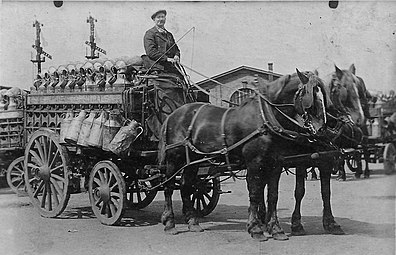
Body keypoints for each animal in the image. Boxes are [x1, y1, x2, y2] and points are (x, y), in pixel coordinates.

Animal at [157, 68, 332, 240]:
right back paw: (169, 223)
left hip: (193, 160)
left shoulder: (276, 163)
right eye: (310, 95)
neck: (265, 118)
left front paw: (276, 229)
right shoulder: (255, 162)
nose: (321, 130)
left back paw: (193, 222)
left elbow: (273, 195)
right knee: (168, 186)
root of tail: (173, 115)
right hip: (174, 158)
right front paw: (255, 228)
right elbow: (255, 193)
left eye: (323, 97)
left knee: (186, 185)